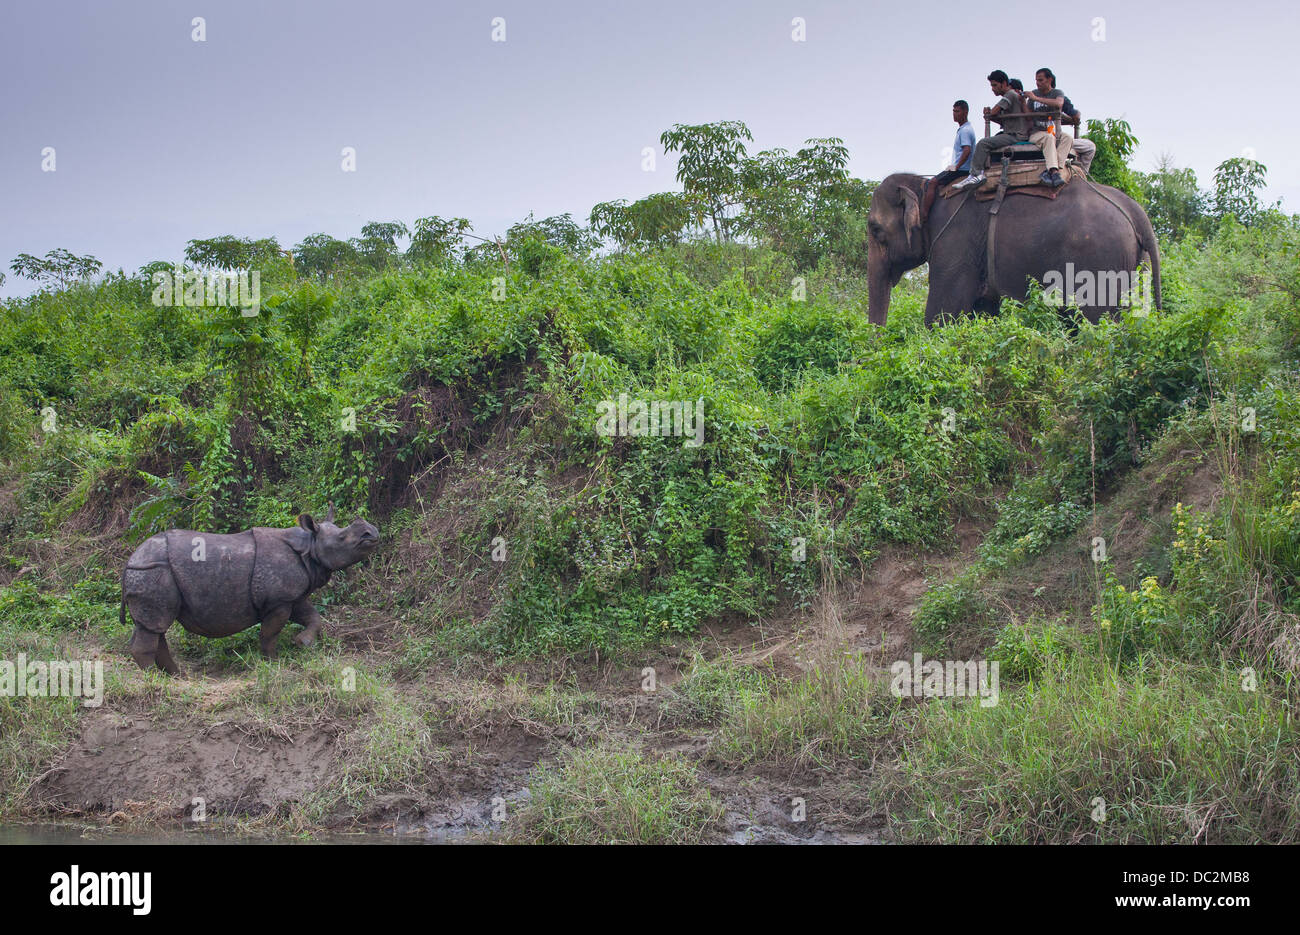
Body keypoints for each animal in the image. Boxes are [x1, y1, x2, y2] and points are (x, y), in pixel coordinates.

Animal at [120, 505, 379, 674]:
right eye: (342, 537)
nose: (373, 533)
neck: (309, 546)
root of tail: (131, 559)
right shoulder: (278, 600)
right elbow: (269, 634)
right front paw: (273, 664)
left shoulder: (291, 597)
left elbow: (313, 617)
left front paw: (302, 642)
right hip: (152, 571)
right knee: (155, 624)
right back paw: (153, 679)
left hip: (150, 570)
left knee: (155, 626)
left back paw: (175, 676)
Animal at [866, 171, 1162, 326]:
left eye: (875, 229)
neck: (926, 187)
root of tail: (1137, 212)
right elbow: (983, 311)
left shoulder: (954, 240)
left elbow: (943, 313)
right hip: (1134, 262)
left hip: (1099, 262)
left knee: (1094, 321)